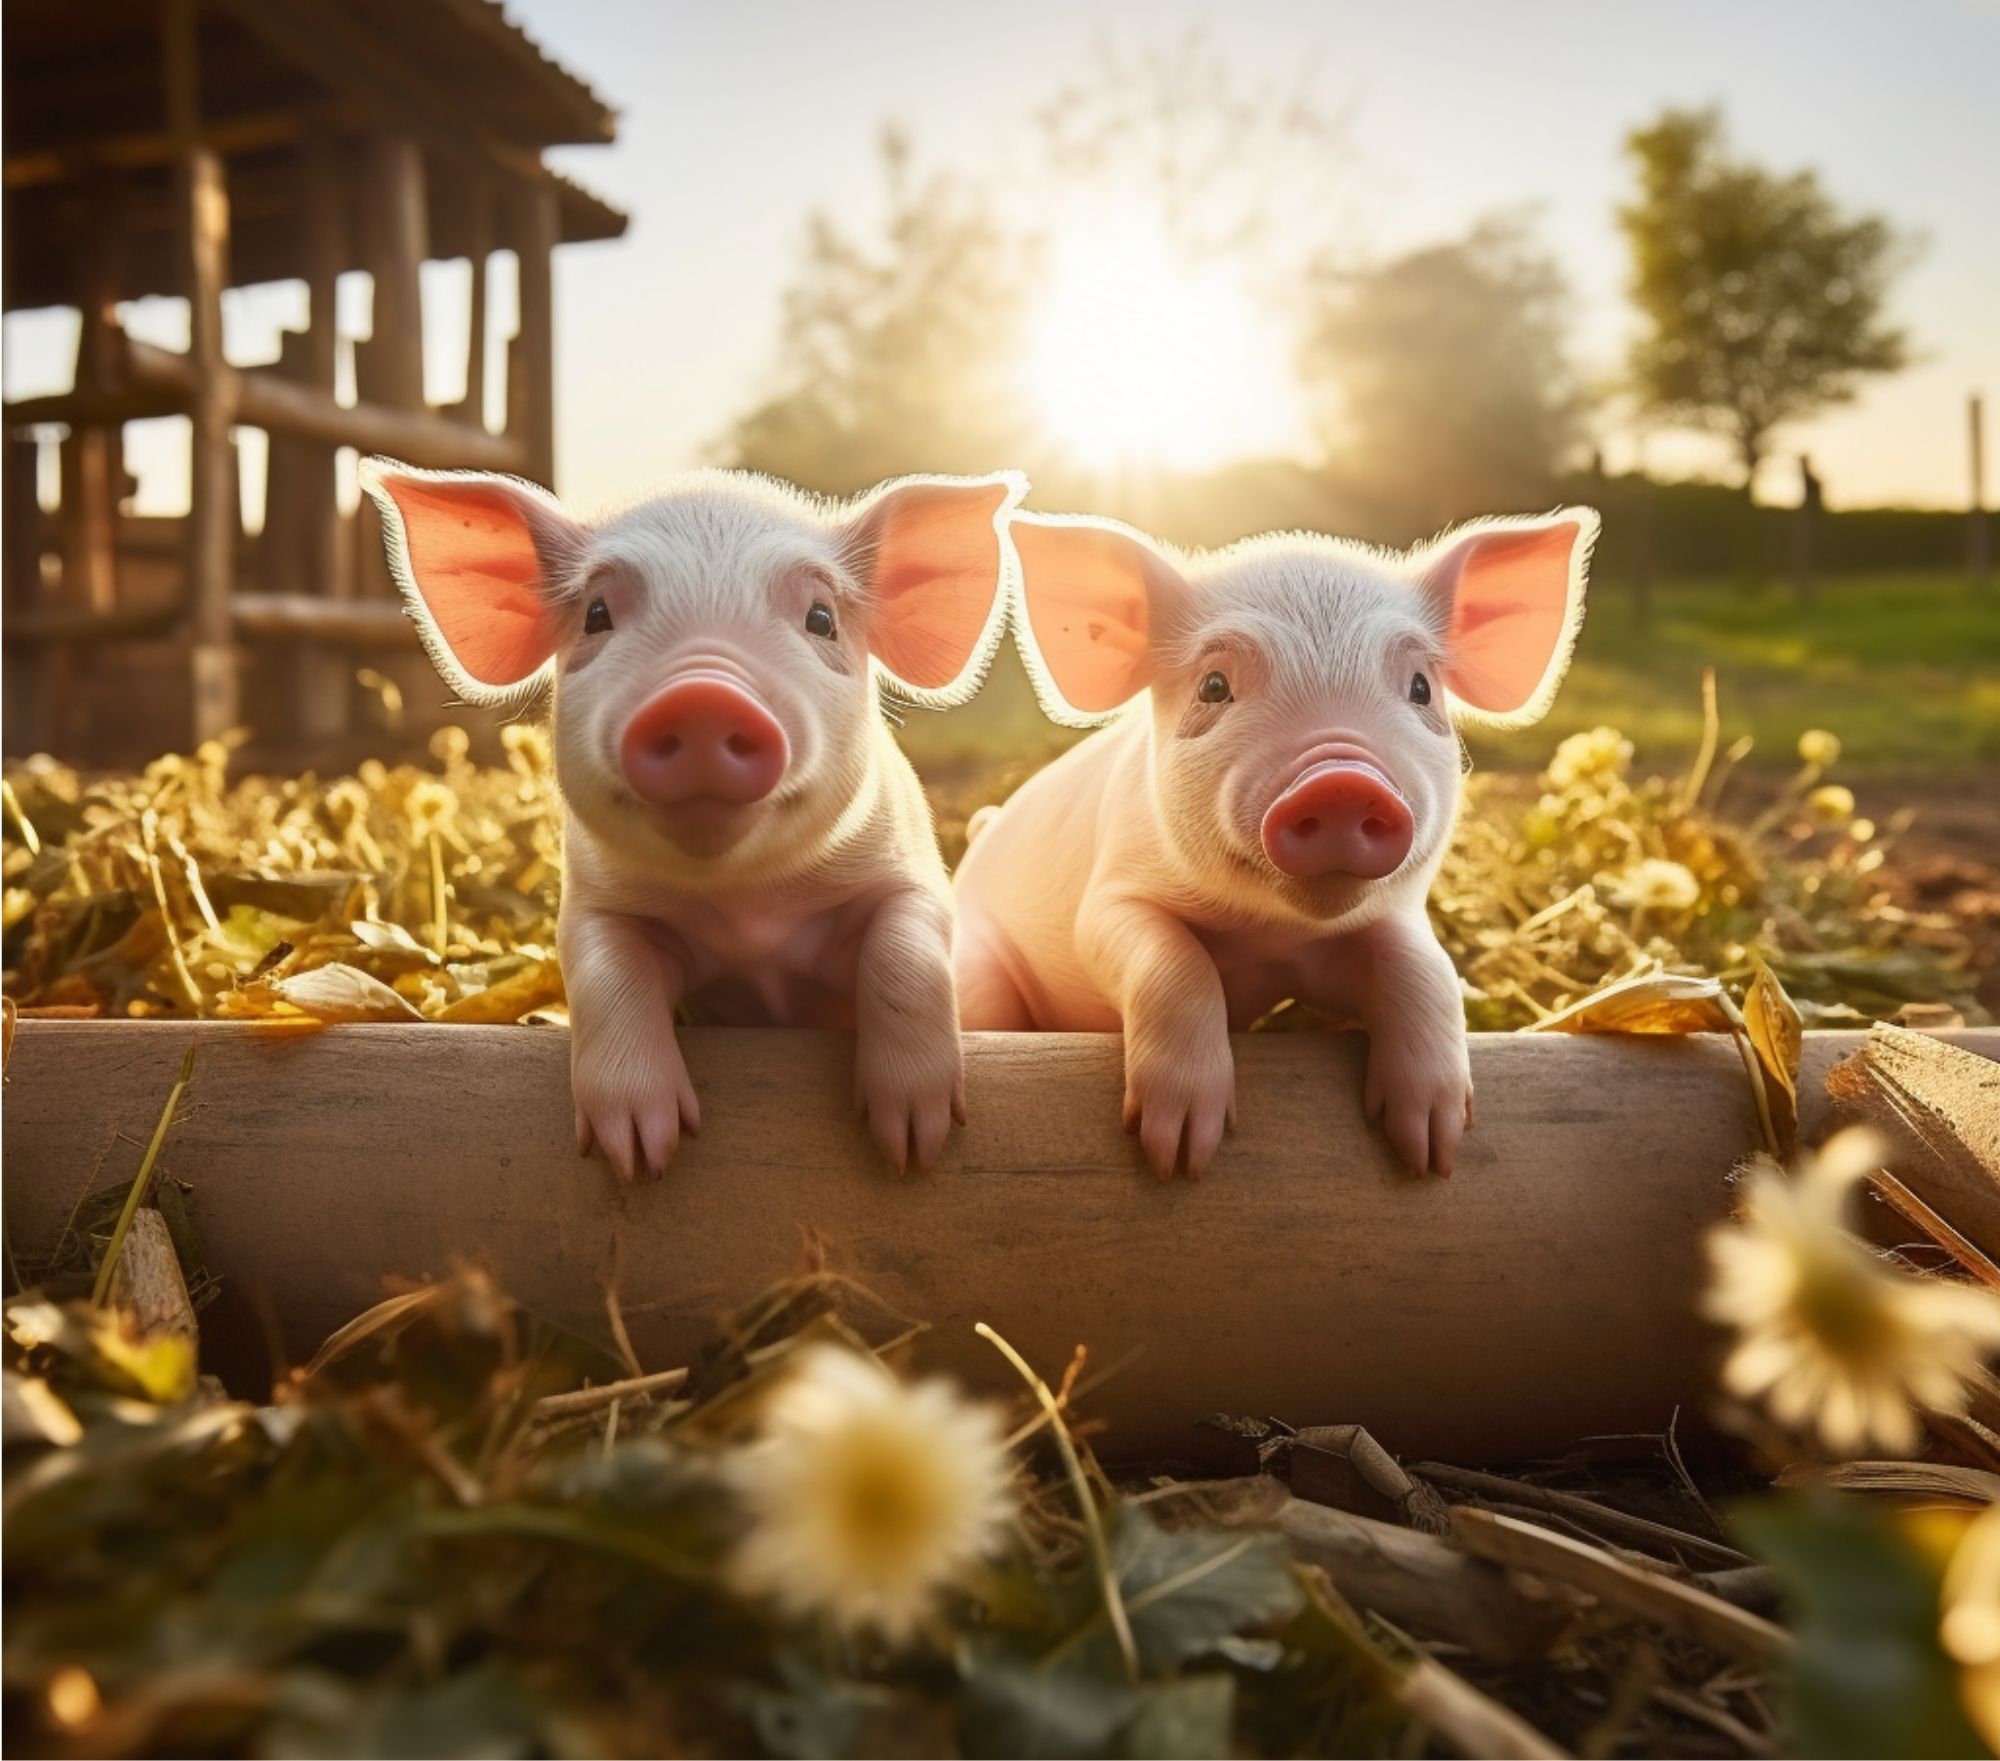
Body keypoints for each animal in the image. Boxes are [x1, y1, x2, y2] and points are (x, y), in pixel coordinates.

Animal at [360, 458, 1024, 1178]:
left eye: (821, 618)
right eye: (597, 614)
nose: (703, 695)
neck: (748, 915)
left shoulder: (912, 875)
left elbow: (906, 955)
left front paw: (913, 1145)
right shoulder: (596, 905)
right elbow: (606, 974)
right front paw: (640, 1156)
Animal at [954, 506, 1597, 1179]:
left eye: (1421, 687)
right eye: (1213, 686)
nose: (1340, 781)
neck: (1273, 939)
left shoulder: (1389, 919)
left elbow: (1426, 969)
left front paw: (1433, 1152)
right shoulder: (1112, 896)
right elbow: (1171, 960)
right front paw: (1180, 1154)